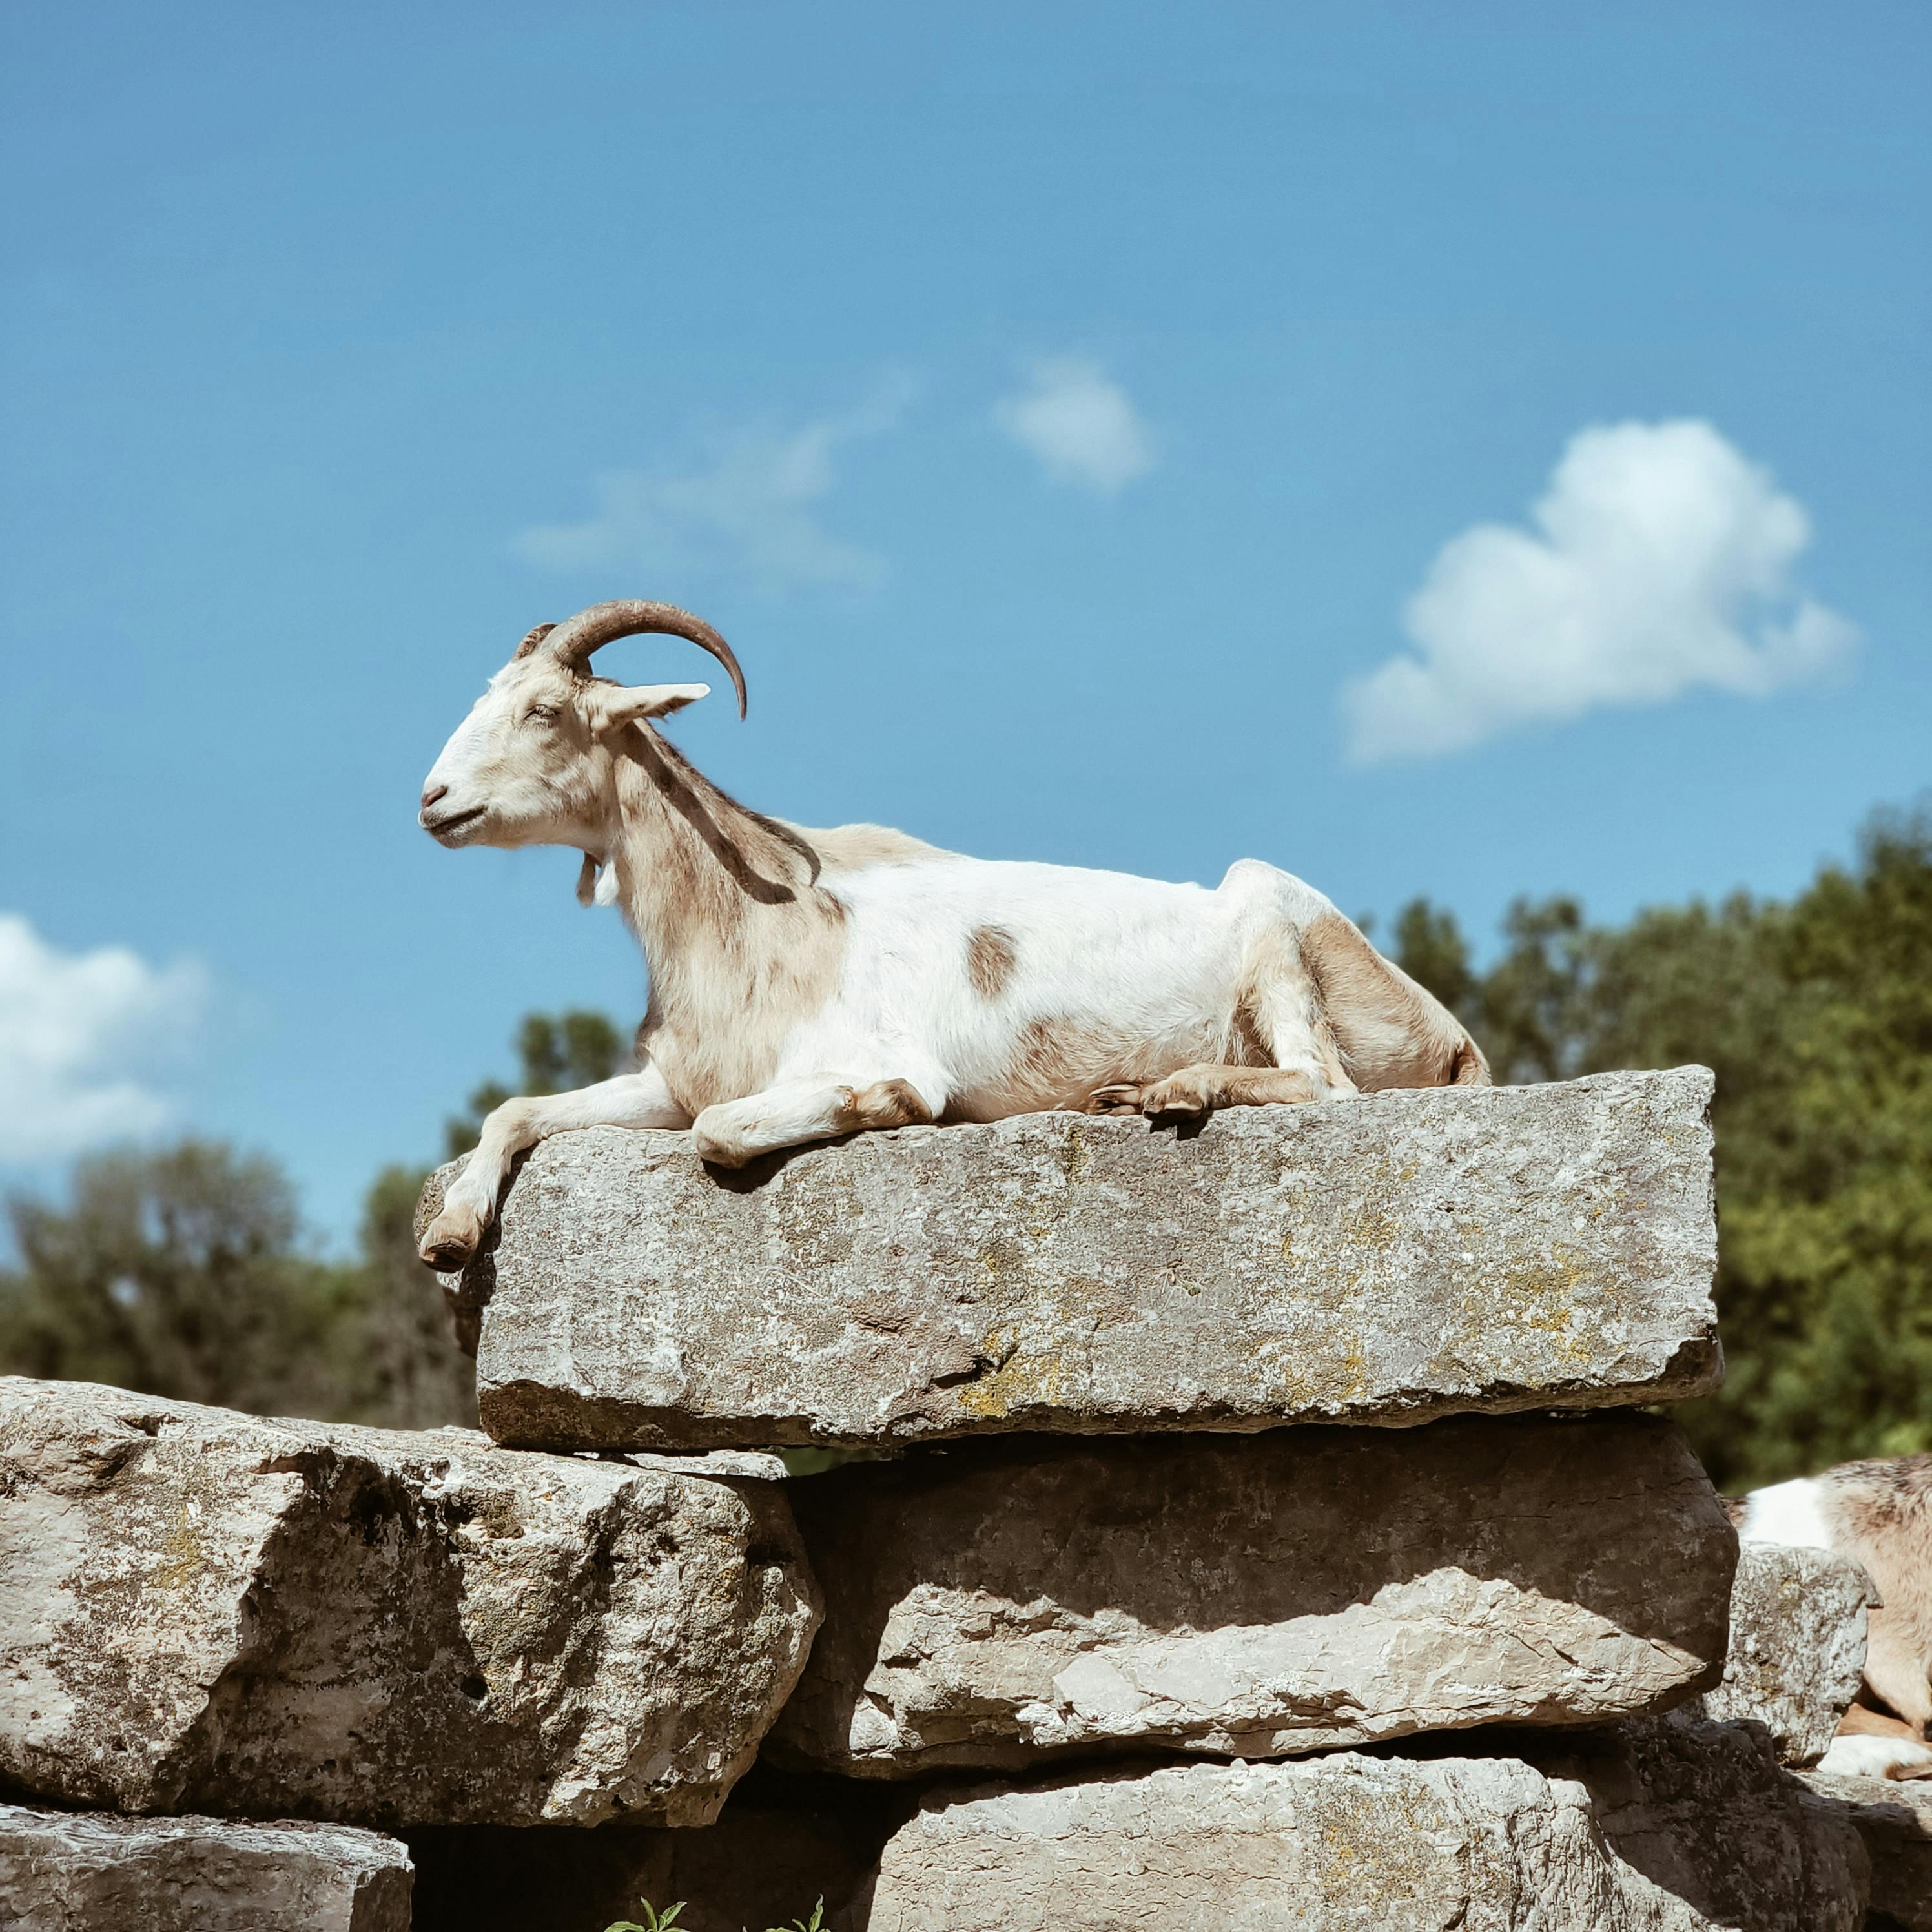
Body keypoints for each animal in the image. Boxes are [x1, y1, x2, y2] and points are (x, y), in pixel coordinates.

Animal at [415, 600, 1489, 1269]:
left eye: (546, 710)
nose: (433, 800)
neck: (761, 925)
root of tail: (1455, 1042)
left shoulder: (837, 1059)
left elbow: (728, 1132)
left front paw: (893, 1106)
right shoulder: (669, 1087)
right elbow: (518, 1111)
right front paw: (451, 1236)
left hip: (1269, 913)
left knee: (1326, 1083)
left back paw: (1175, 1089)